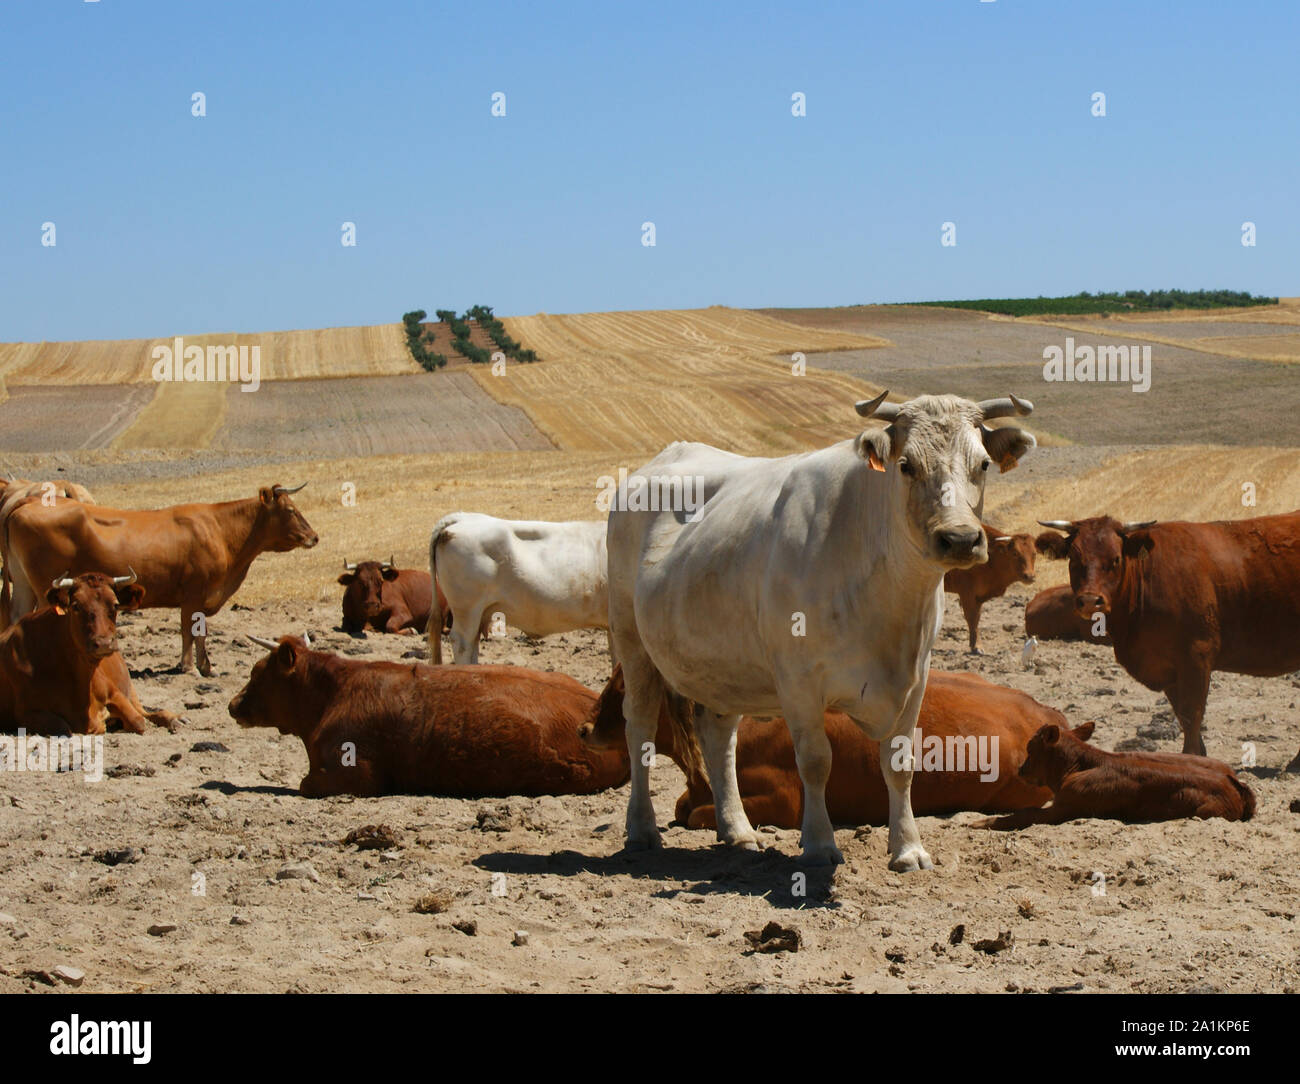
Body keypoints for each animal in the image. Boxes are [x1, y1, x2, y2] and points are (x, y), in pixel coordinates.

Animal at [0, 571, 176, 735]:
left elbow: (137, 720)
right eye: (76, 606)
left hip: (130, 689)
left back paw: (173, 719)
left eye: (115, 605)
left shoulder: (114, 692)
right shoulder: (25, 713)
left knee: (146, 713)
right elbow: (63, 727)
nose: (104, 643)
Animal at [3, 483, 318, 676]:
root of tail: (28, 501)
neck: (219, 530)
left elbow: (200, 631)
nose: (314, 537)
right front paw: (189, 667)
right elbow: (190, 630)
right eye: (291, 510)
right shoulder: (193, 594)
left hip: (23, 585)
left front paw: (207, 667)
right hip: (47, 589)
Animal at [943, 523, 1036, 652]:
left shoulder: (978, 596)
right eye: (1015, 553)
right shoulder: (967, 593)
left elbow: (977, 618)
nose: (1030, 576)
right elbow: (971, 617)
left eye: (1034, 554)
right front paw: (977, 646)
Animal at [973, 723, 1255, 829]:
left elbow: (1023, 814)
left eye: (1031, 747)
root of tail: (1232, 782)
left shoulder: (1061, 810)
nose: (1021, 769)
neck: (1081, 764)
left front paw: (981, 822)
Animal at [1035, 513, 1300, 763]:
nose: (1090, 601)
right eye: (1073, 558)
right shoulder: (1169, 668)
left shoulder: (1196, 657)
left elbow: (1192, 714)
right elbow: (1182, 715)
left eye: (1116, 558)